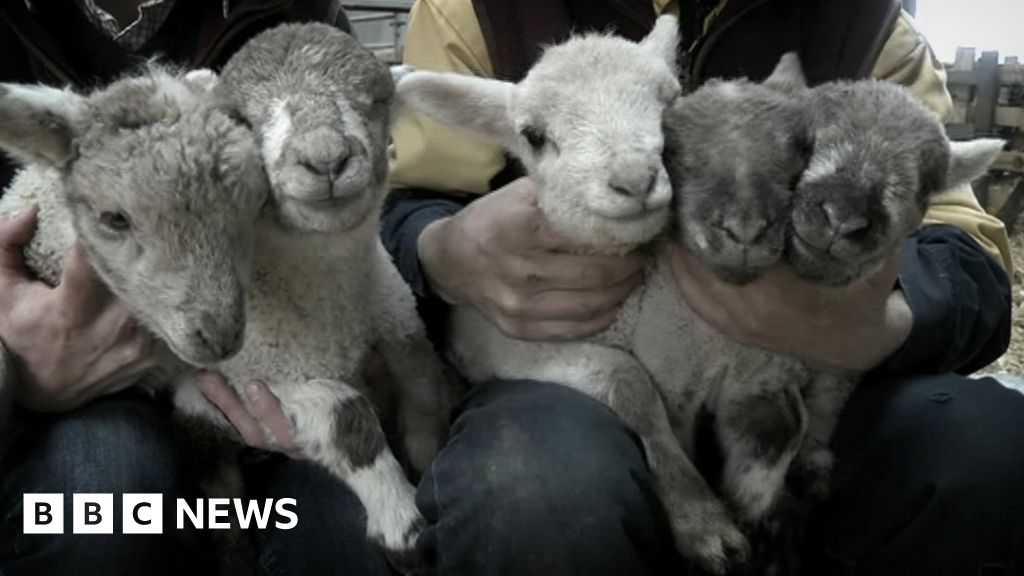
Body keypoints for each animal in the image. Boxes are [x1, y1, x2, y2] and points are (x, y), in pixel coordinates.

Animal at [164, 22, 452, 574]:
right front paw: (401, 526)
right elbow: (345, 417)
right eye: (241, 120)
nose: (325, 158)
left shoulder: (396, 319)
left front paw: (428, 456)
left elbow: (426, 385)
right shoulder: (254, 382)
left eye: (375, 100)